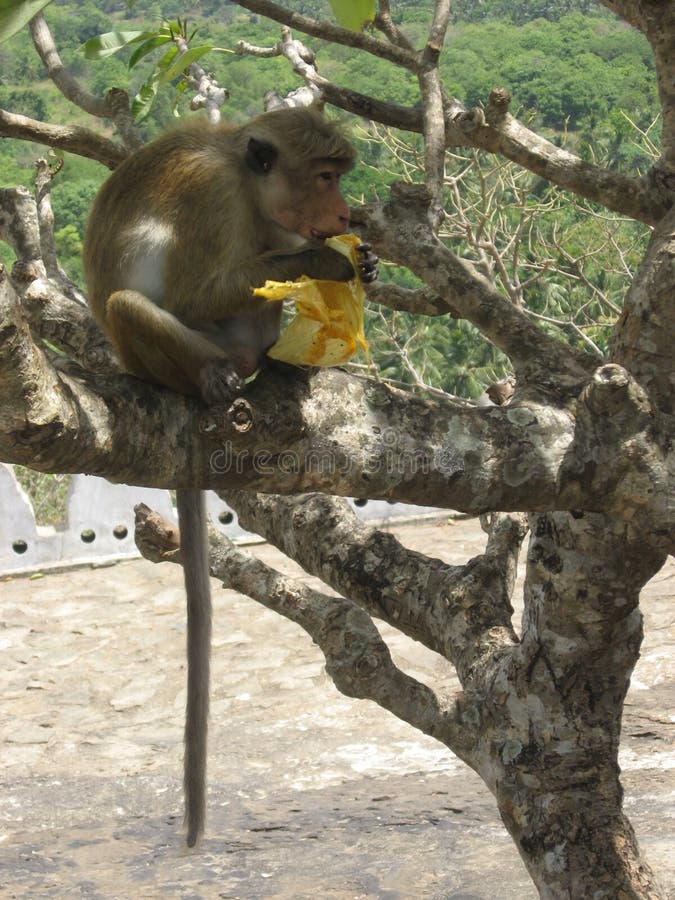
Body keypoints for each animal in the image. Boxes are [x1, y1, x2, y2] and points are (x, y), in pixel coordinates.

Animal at [83, 106, 377, 846]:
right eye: (325, 176)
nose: (342, 212)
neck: (247, 183)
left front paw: (363, 260)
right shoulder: (210, 198)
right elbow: (194, 287)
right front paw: (321, 262)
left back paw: (276, 364)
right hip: (149, 357)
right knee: (132, 303)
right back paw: (214, 380)